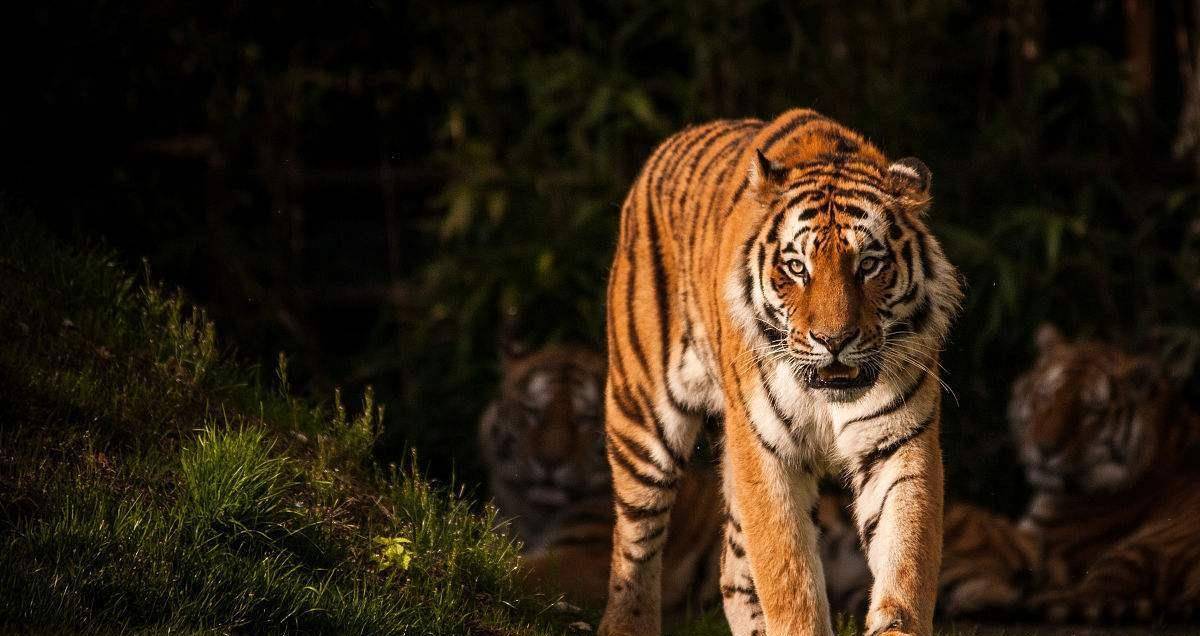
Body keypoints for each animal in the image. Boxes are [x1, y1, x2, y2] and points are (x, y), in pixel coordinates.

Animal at [478, 343, 723, 619]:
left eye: (585, 418)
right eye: (532, 412)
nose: (550, 462)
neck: (536, 515)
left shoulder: (587, 556)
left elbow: (518, 568)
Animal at [599, 109, 963, 636]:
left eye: (869, 264)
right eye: (796, 267)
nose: (834, 340)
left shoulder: (898, 445)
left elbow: (905, 562)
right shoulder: (767, 453)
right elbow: (787, 575)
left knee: (732, 571)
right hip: (642, 419)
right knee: (636, 540)